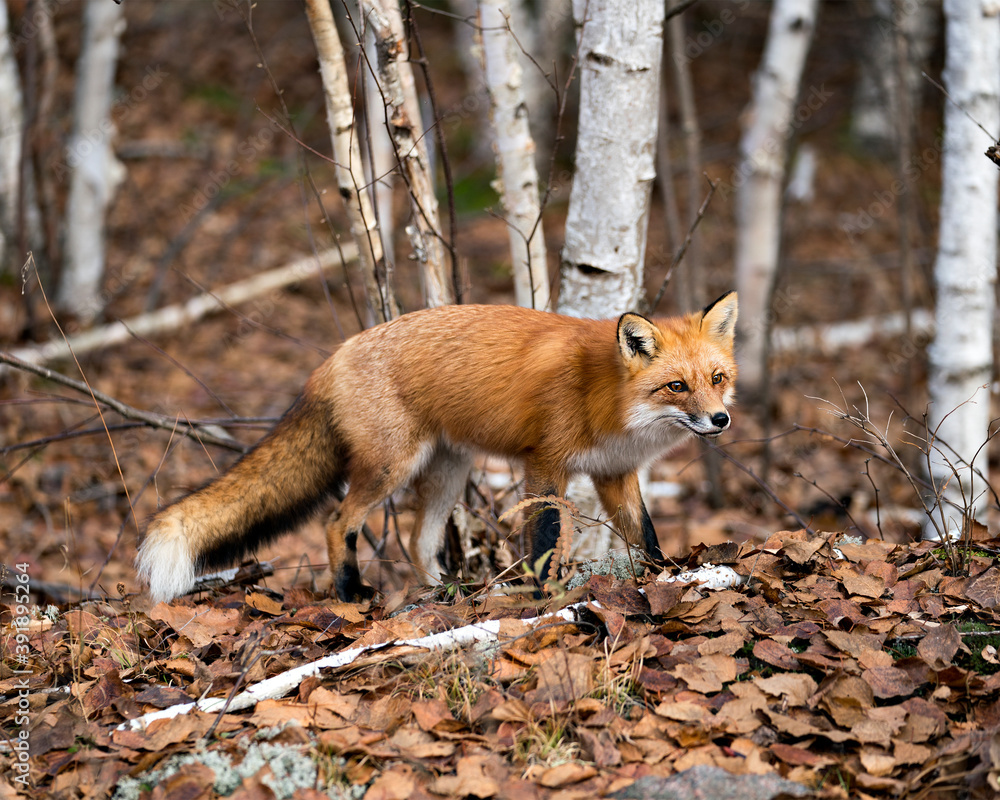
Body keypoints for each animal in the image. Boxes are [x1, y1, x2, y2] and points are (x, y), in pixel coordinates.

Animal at [137, 292, 738, 604]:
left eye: (716, 378)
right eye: (676, 386)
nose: (720, 419)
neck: (609, 400)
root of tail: (331, 358)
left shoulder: (614, 474)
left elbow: (646, 534)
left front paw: (666, 576)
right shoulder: (544, 465)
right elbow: (544, 539)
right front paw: (544, 593)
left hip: (449, 471)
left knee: (418, 542)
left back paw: (446, 593)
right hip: (391, 467)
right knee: (338, 521)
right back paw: (351, 593)